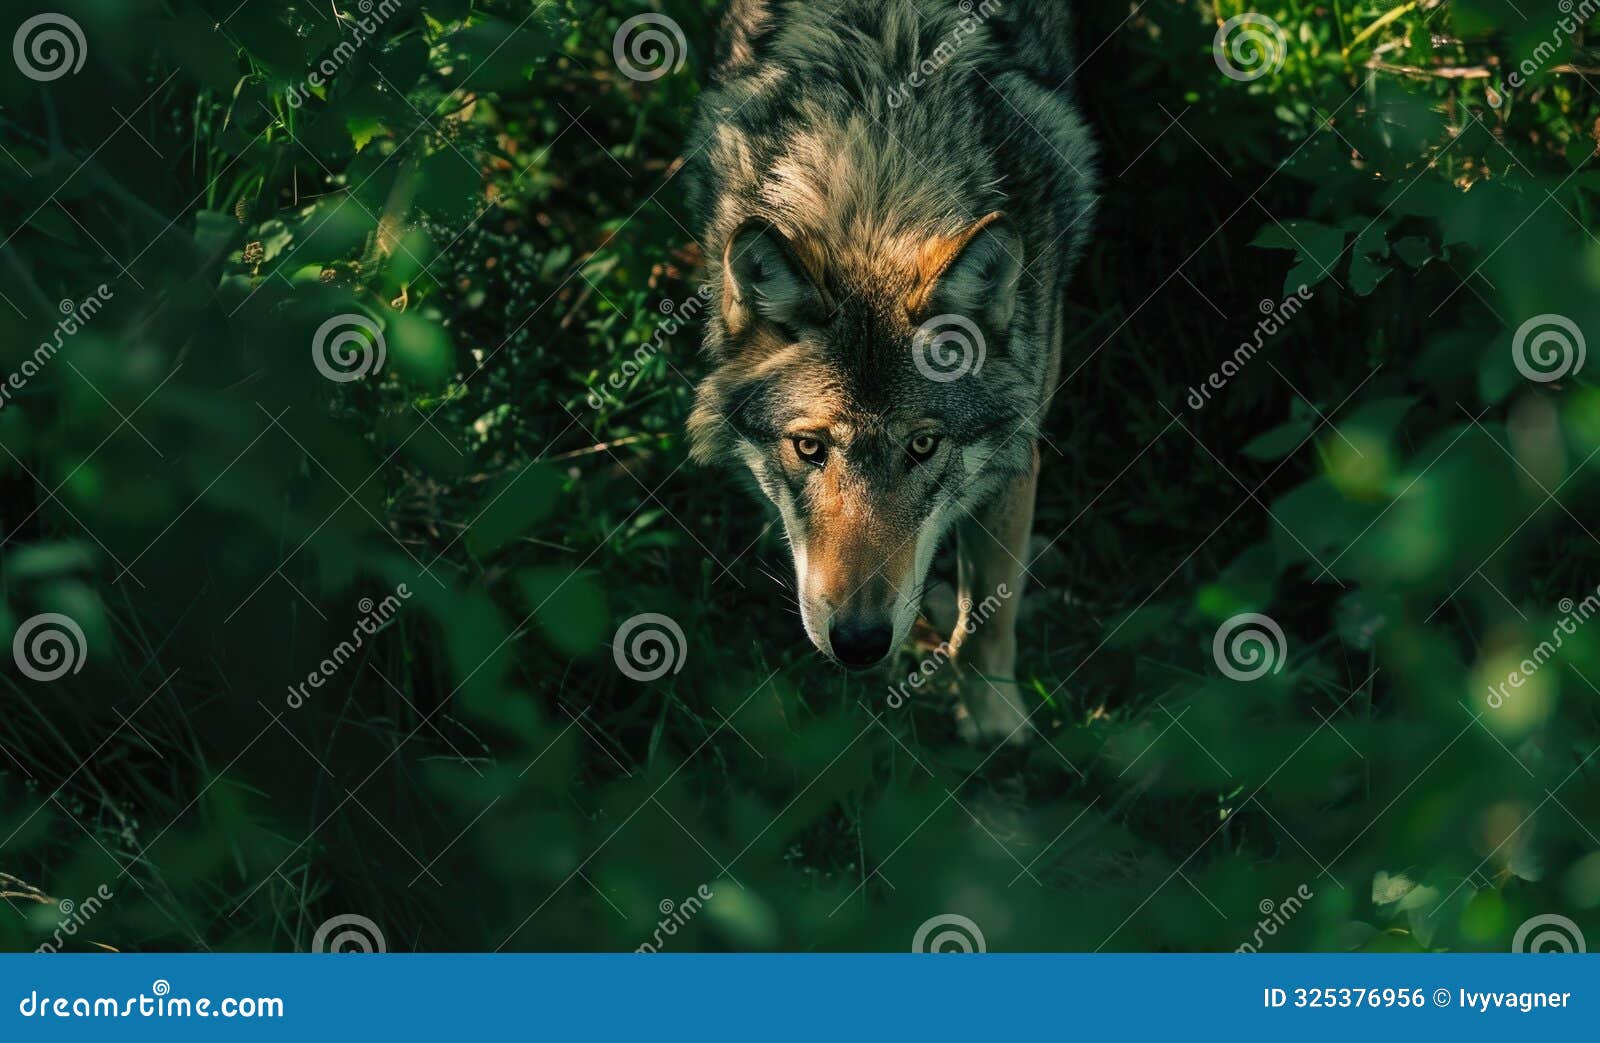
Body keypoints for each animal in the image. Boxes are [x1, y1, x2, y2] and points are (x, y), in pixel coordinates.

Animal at [684, 0, 1098, 742]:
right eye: (808, 447)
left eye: (924, 446)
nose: (859, 642)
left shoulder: (1018, 455)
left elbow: (992, 607)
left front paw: (994, 720)